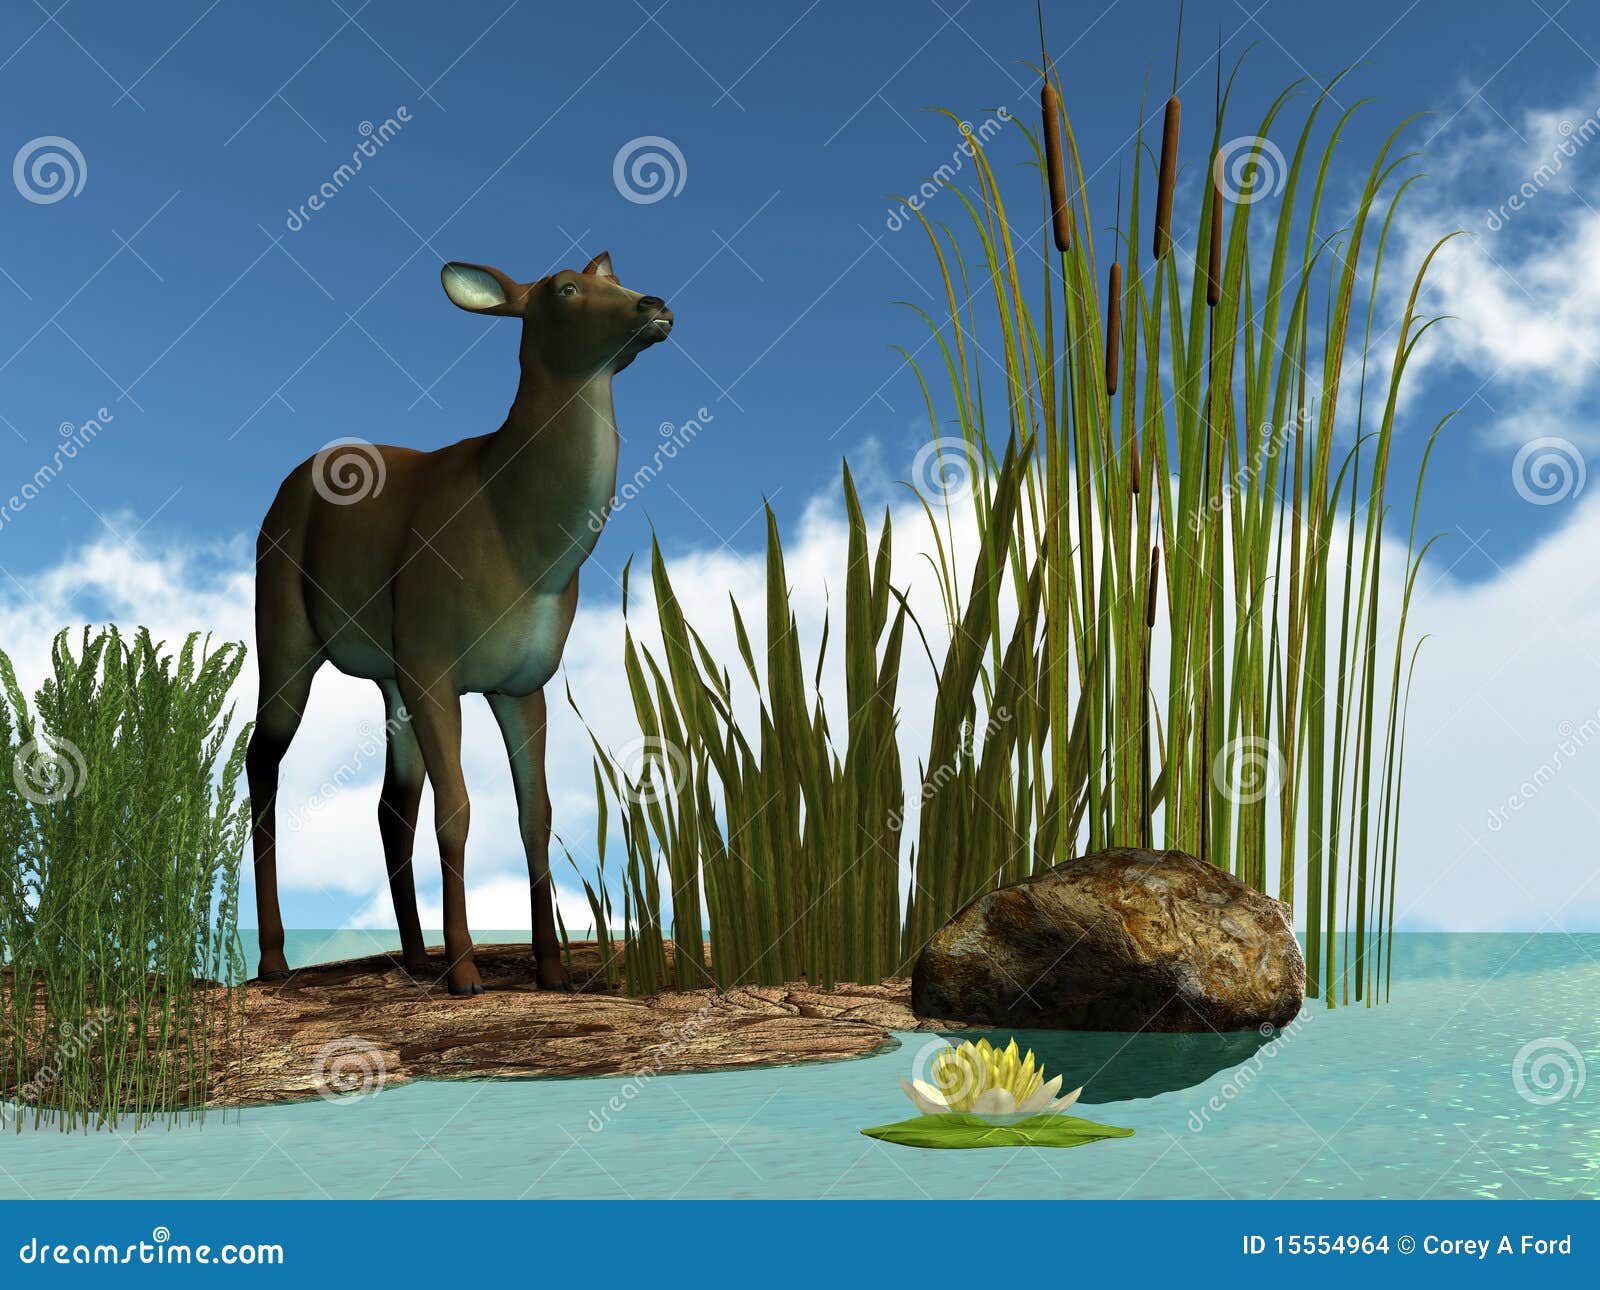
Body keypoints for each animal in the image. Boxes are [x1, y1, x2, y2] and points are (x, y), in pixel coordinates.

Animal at [247, 250, 673, 996]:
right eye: (565, 289)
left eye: (615, 280)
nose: (654, 306)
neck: (523, 545)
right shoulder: (435, 665)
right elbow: (459, 808)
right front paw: (468, 971)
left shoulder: (522, 682)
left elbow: (536, 814)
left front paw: (552, 970)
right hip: (290, 639)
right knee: (261, 758)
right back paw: (275, 961)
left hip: (390, 678)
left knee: (391, 803)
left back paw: (416, 957)